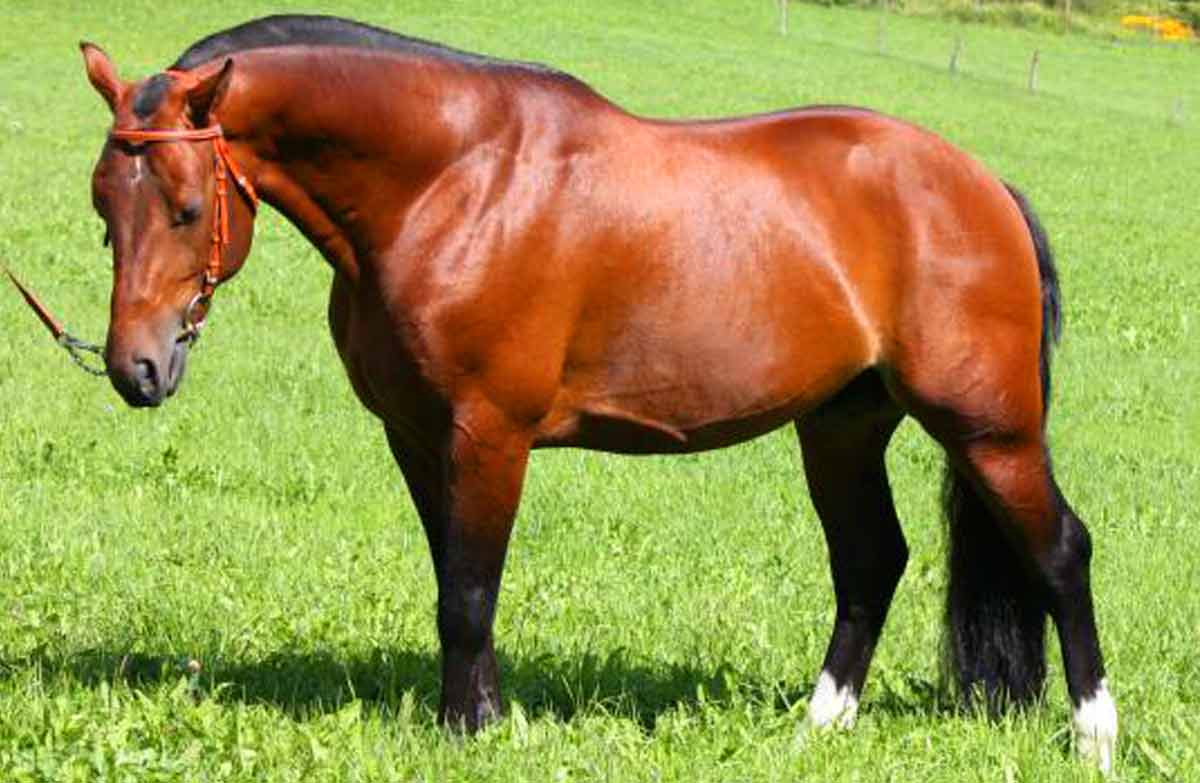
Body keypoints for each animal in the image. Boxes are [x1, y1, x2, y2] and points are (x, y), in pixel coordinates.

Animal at [79, 14, 1116, 771]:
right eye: (102, 208)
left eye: (185, 207)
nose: (137, 367)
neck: (452, 181)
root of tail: (982, 185)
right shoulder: (416, 435)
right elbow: (455, 578)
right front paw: (484, 716)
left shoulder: (488, 433)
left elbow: (469, 590)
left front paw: (469, 733)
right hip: (843, 425)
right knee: (872, 561)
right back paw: (819, 726)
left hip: (988, 429)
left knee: (1061, 551)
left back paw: (1095, 735)